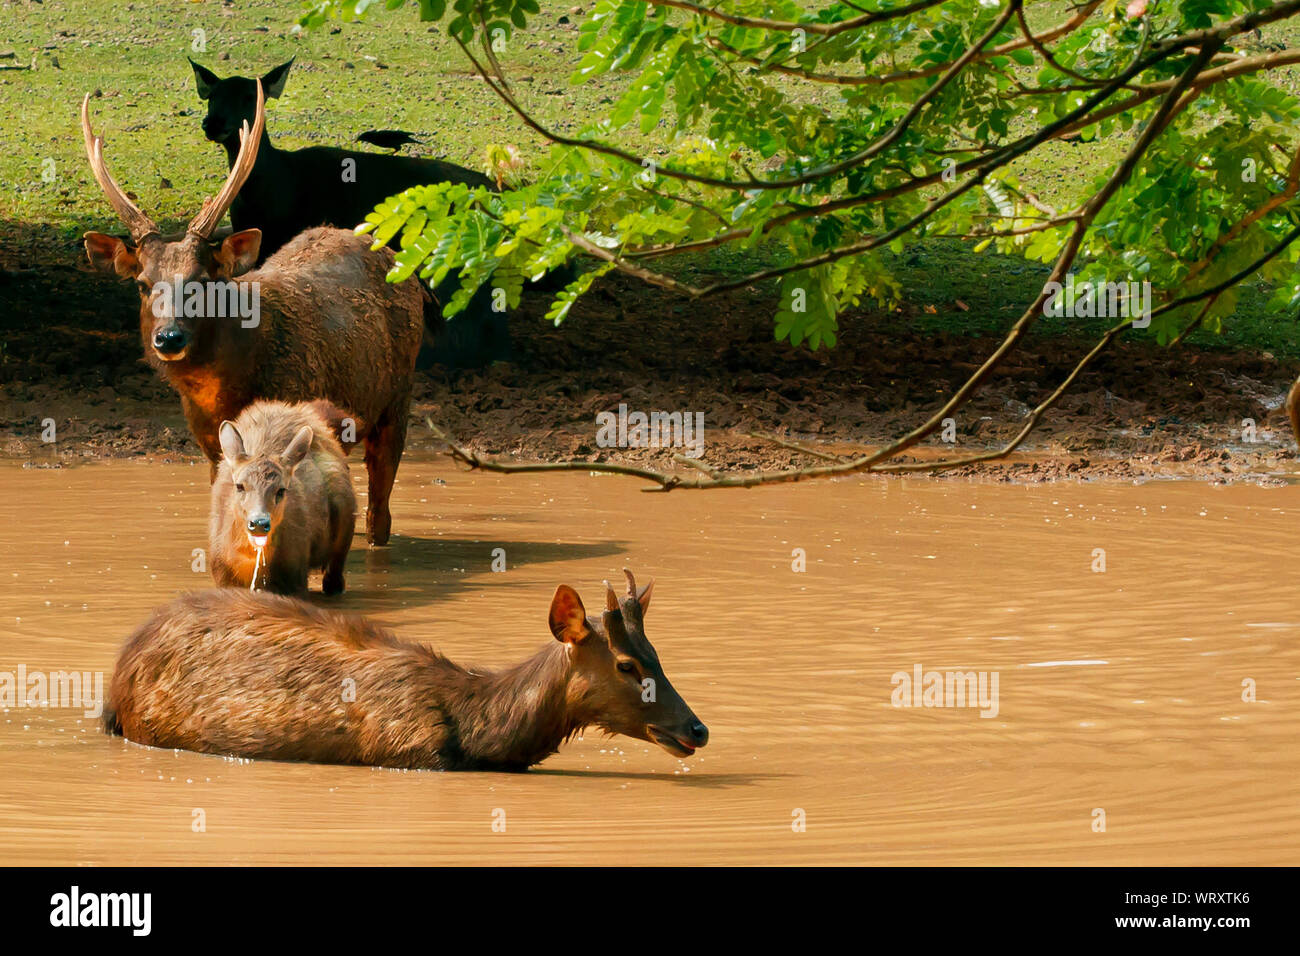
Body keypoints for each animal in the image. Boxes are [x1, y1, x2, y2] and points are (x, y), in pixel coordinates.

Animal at [80, 83, 422, 545]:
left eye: (202, 279)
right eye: (142, 283)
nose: (168, 338)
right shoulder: (211, 449)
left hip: (398, 398)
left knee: (378, 514)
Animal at [103, 570, 710, 772]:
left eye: (658, 653)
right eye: (627, 663)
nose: (698, 728)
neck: (475, 727)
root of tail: (113, 680)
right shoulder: (408, 749)